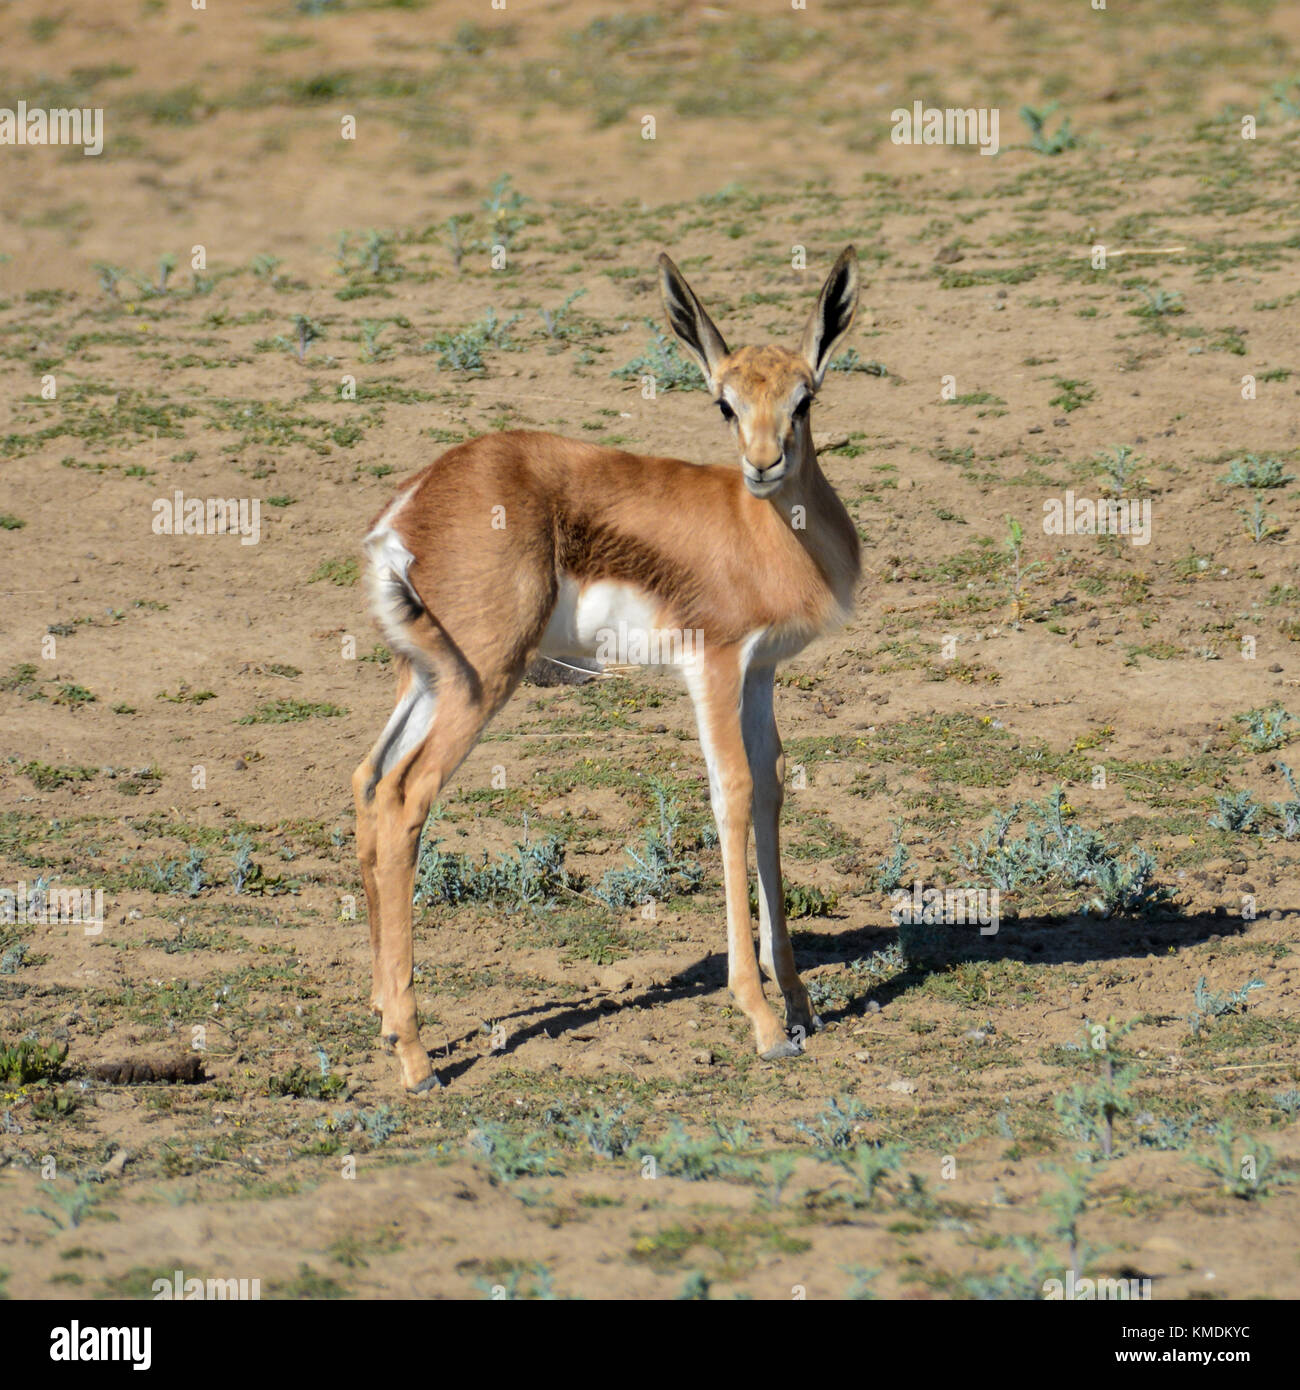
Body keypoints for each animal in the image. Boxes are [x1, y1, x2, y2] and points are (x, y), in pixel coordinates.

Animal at [353, 248, 862, 1092]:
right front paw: (762, 1022)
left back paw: (382, 1019)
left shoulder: (760, 673)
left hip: (428, 680)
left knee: (368, 778)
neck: (763, 534)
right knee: (404, 795)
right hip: (483, 682)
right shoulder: (714, 666)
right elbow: (732, 795)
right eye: (723, 404)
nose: (763, 466)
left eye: (804, 398)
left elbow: (770, 791)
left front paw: (799, 1004)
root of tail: (409, 508)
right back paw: (417, 1058)